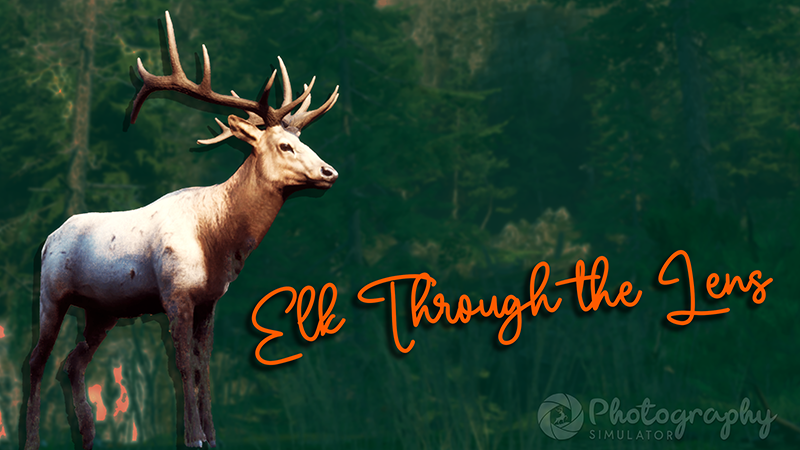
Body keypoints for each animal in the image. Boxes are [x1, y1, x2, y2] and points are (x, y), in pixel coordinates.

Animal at [24, 11, 339, 450]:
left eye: (302, 140)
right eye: (285, 146)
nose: (330, 172)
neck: (218, 241)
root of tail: (49, 239)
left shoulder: (210, 300)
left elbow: (203, 366)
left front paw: (213, 435)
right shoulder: (175, 293)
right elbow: (182, 366)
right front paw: (193, 437)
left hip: (102, 311)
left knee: (73, 362)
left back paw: (87, 435)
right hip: (51, 293)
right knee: (36, 360)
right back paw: (33, 439)